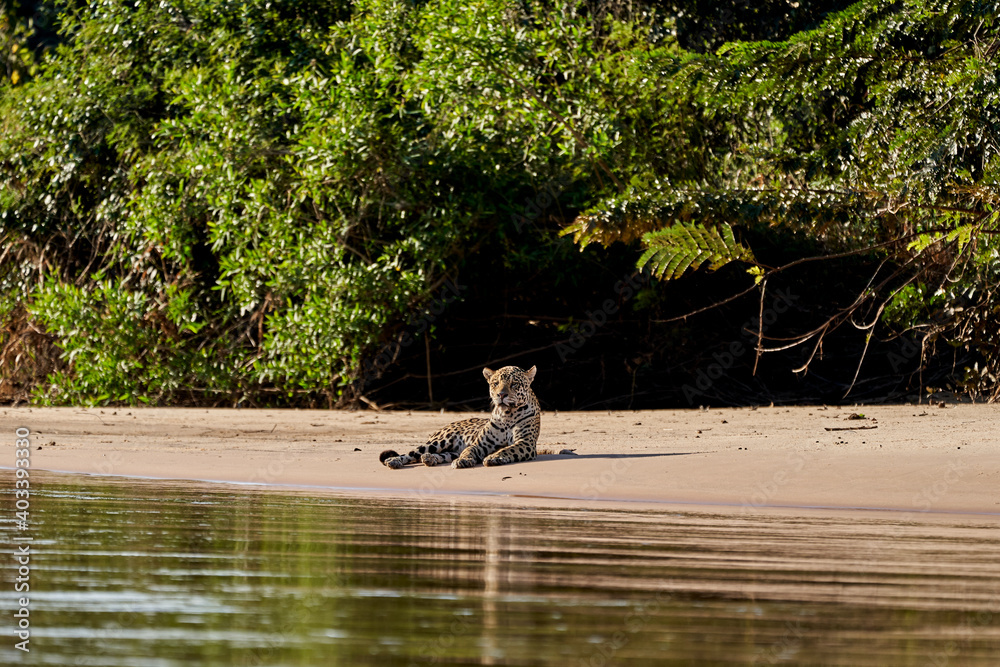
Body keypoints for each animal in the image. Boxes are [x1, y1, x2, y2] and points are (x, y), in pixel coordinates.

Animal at [379, 365, 550, 469]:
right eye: (495, 383)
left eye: (514, 384)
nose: (501, 395)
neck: (507, 415)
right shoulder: (480, 444)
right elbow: (468, 451)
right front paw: (463, 460)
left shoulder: (526, 443)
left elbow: (508, 449)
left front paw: (493, 458)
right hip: (439, 441)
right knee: (411, 454)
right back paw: (394, 461)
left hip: (449, 450)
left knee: (440, 455)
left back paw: (429, 459)